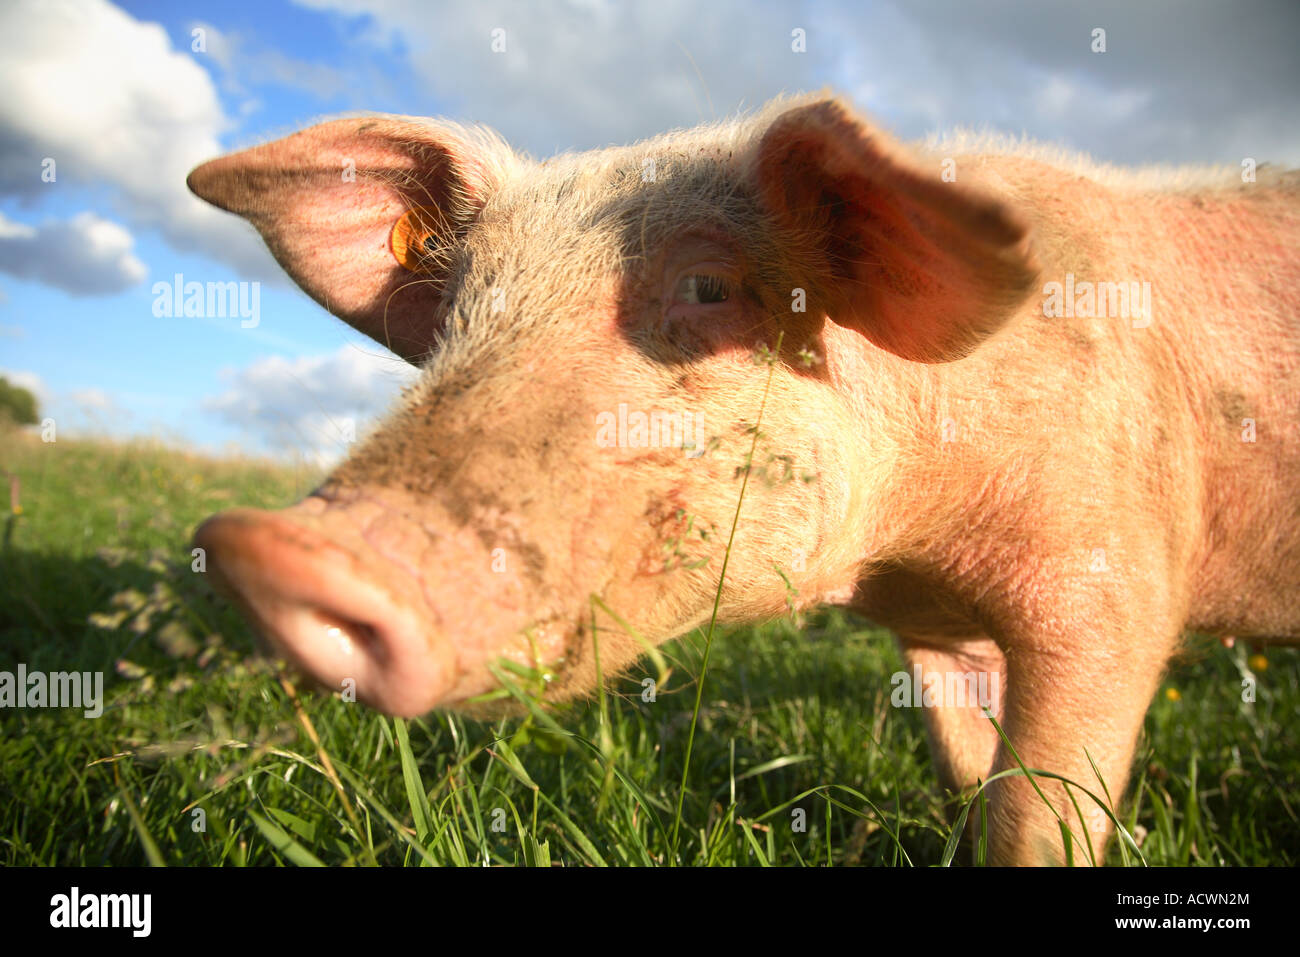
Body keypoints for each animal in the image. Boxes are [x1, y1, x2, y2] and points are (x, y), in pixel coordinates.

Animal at [187, 94, 1300, 865]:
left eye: (710, 286)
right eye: (463, 301)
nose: (271, 552)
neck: (910, 554)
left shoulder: (1115, 582)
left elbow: (1042, 808)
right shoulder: (940, 633)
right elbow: (967, 764)